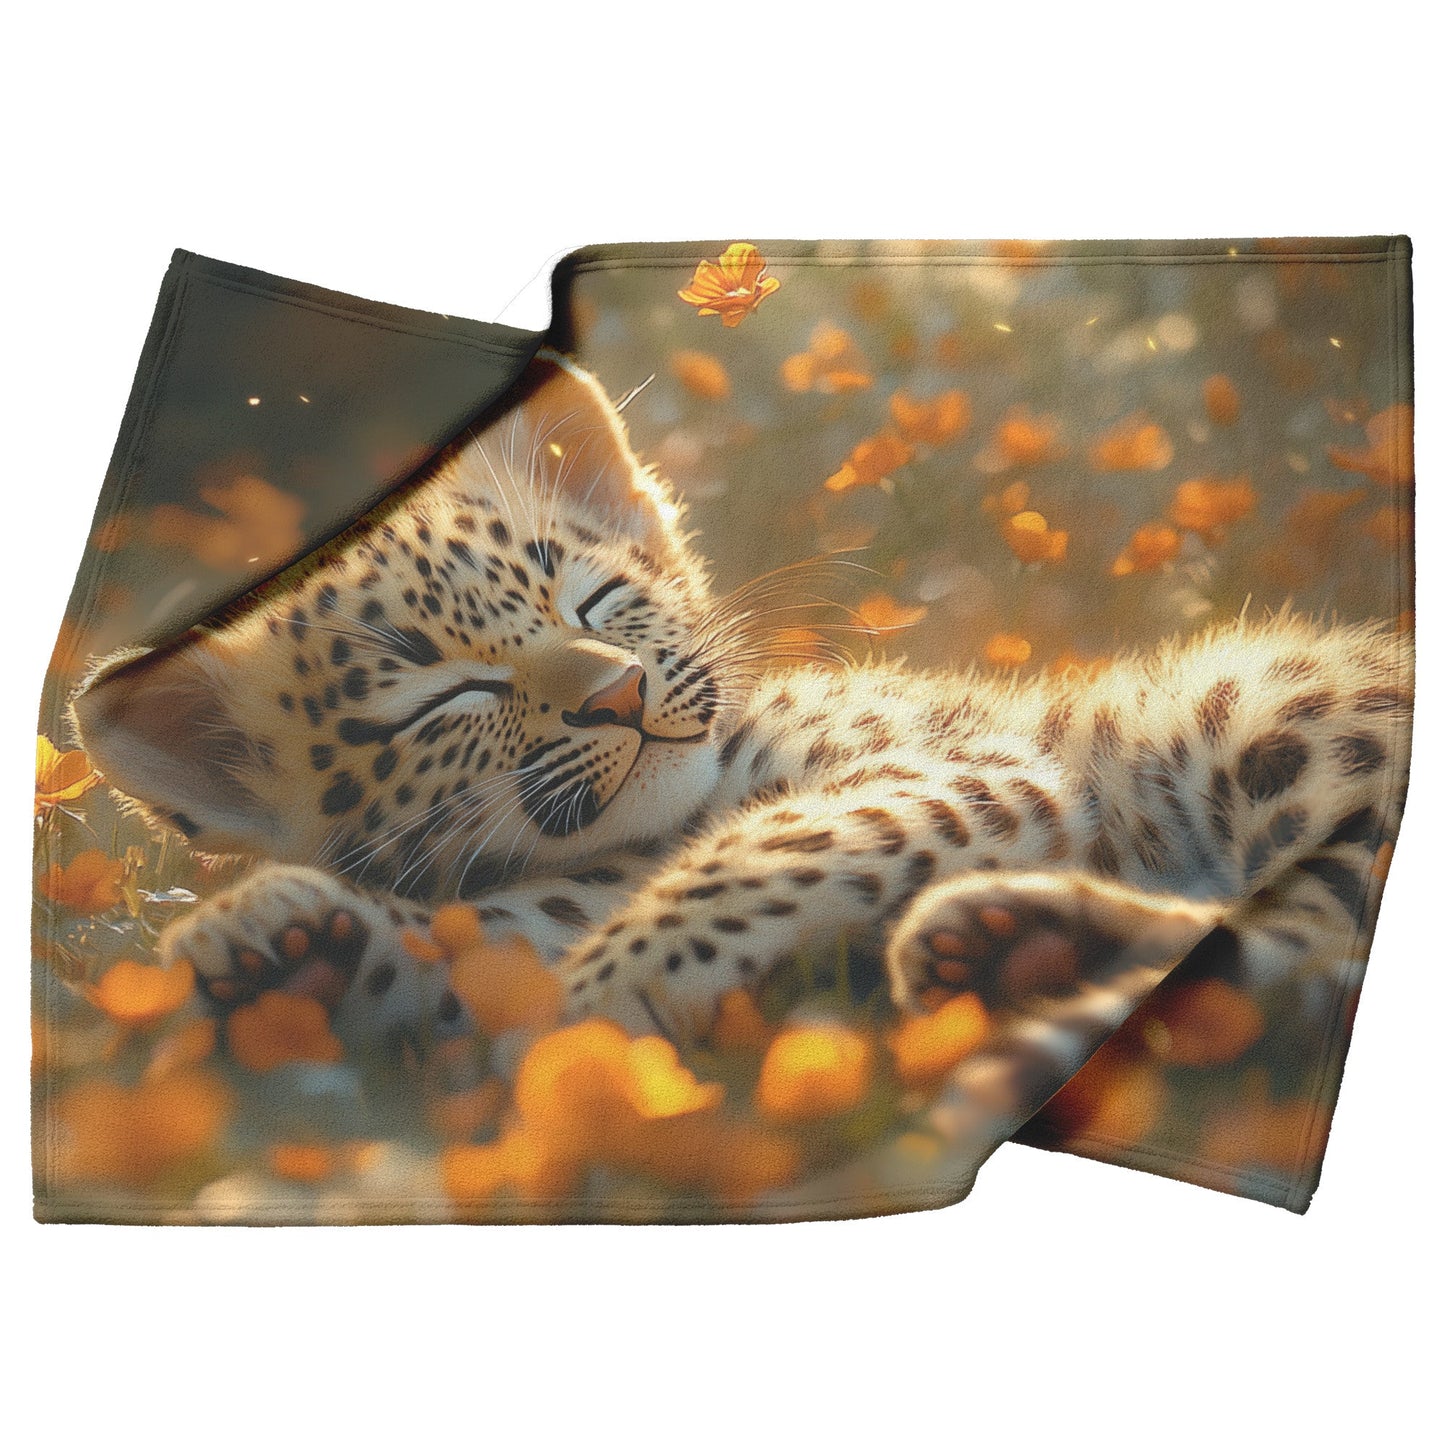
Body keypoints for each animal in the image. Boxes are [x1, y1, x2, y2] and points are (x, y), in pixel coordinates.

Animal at [70, 349, 1412, 1079]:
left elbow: (768, 850)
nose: (614, 692)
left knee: (1307, 948)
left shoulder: (964, 761)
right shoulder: (582, 868)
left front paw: (596, 1003)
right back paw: (1016, 952)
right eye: (447, 693)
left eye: (593, 598)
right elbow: (500, 931)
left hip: (1262, 715)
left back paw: (1024, 949)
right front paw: (285, 947)